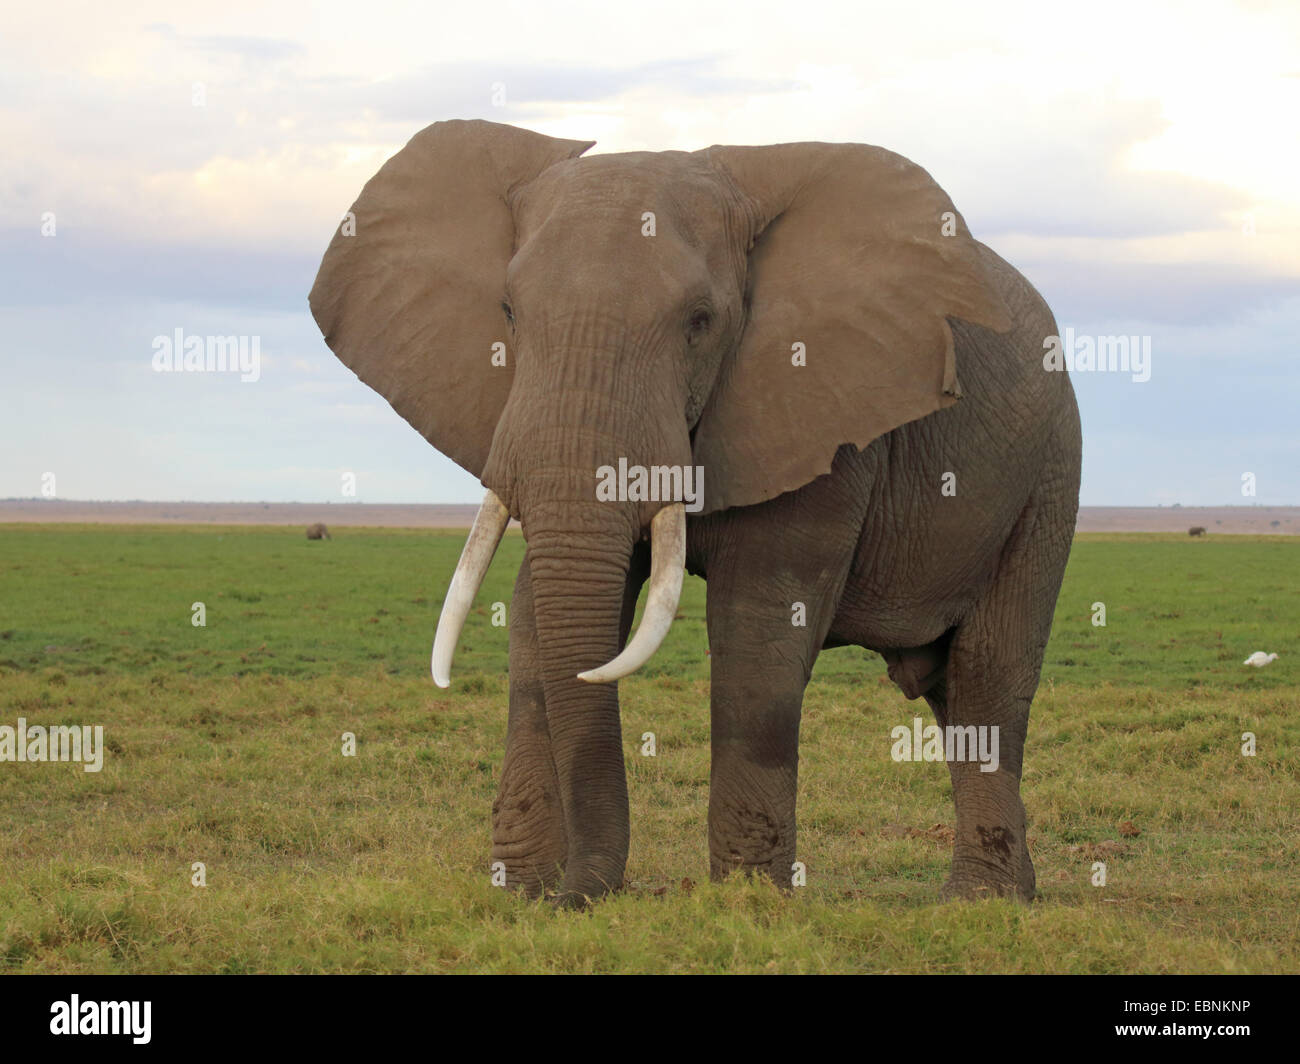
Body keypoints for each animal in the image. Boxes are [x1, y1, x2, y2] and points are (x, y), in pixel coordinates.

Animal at [309, 119, 1081, 906]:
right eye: (509, 314)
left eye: (700, 323)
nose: (577, 898)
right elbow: (534, 612)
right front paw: (516, 892)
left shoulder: (819, 408)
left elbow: (758, 627)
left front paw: (748, 902)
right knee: (951, 691)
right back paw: (1007, 889)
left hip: (1050, 470)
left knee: (988, 675)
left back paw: (981, 901)